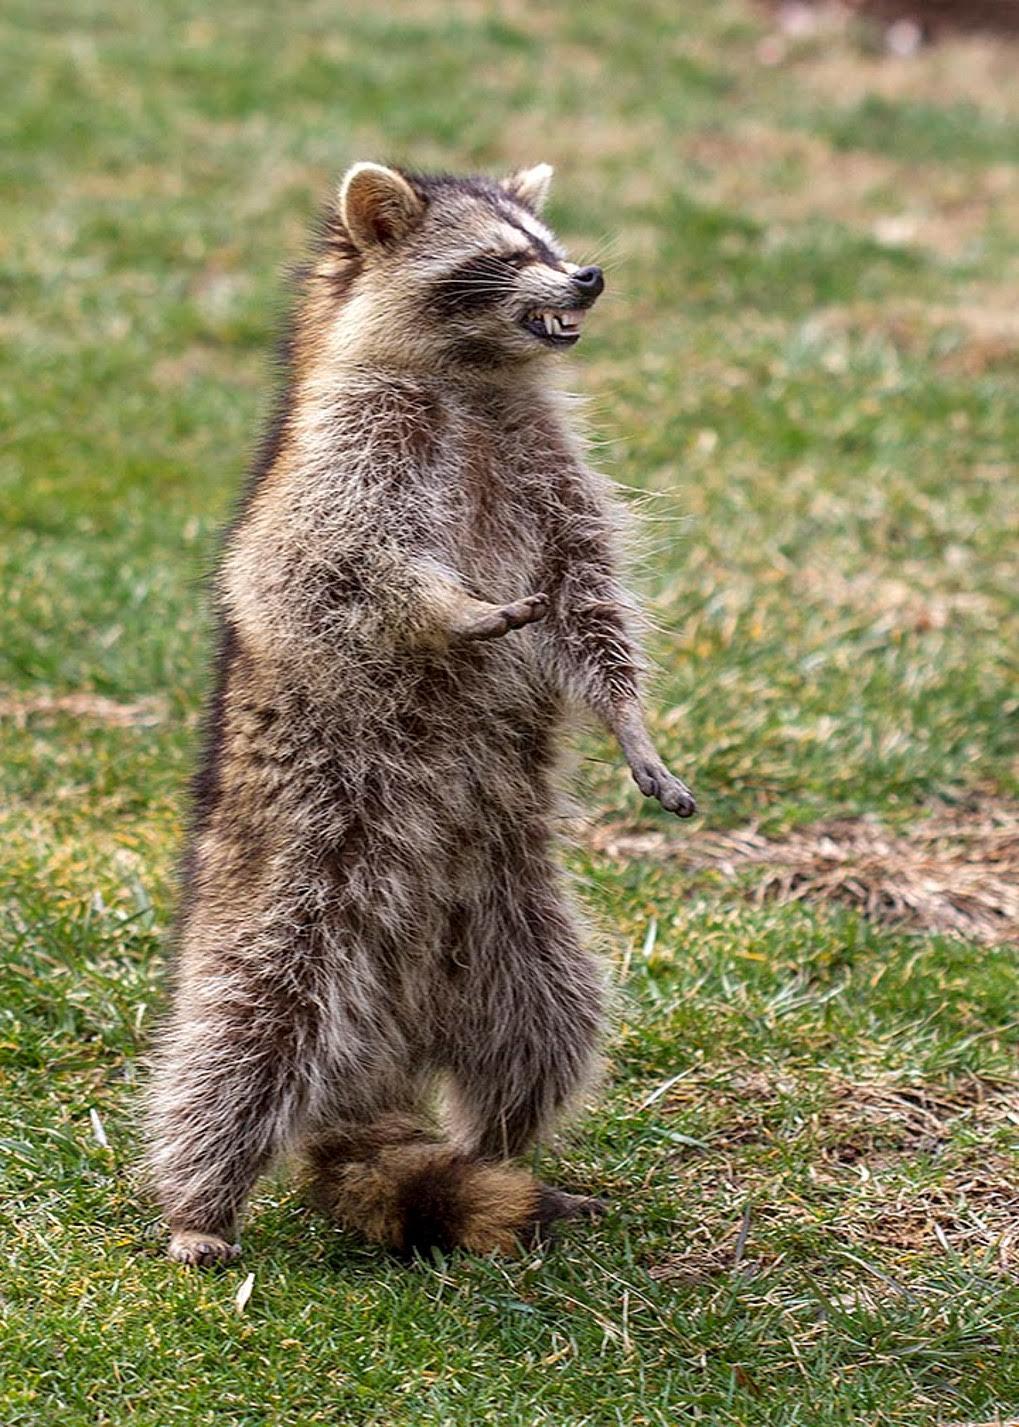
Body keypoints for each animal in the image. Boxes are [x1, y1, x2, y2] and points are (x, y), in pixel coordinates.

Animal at [144, 162, 696, 1266]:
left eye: (550, 240)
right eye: (504, 254)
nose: (589, 275)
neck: (475, 374)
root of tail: (385, 1059)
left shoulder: (547, 464)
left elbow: (589, 599)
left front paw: (629, 717)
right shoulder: (343, 455)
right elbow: (337, 567)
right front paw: (449, 608)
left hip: (518, 927)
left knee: (546, 1032)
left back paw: (496, 1157)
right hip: (293, 899)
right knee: (241, 1041)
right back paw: (200, 1201)